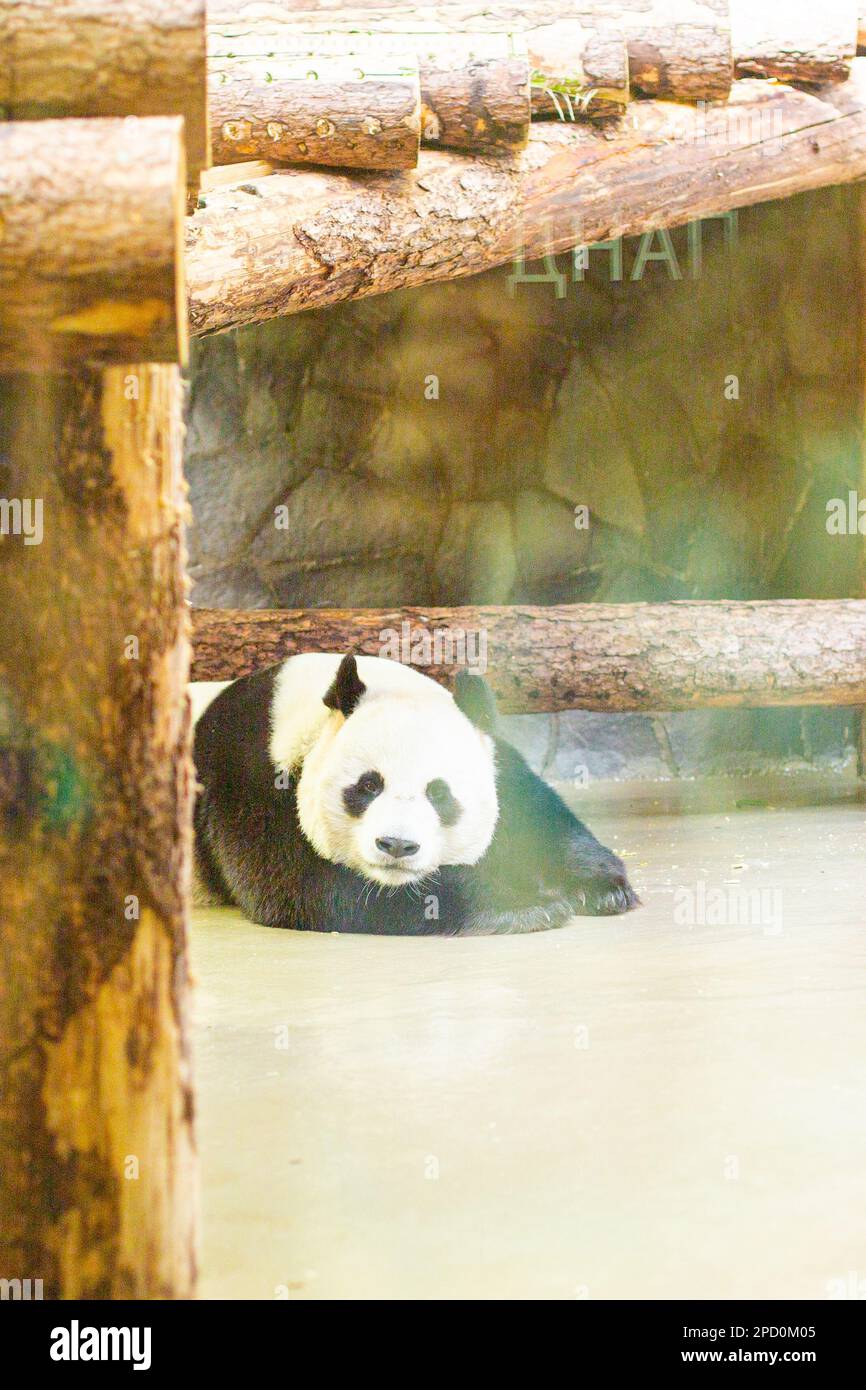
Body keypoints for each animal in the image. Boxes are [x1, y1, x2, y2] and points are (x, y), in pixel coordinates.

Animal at [192, 653, 638, 936]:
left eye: (439, 794)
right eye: (369, 785)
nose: (396, 845)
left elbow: (527, 808)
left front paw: (601, 888)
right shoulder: (251, 778)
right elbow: (311, 884)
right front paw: (525, 902)